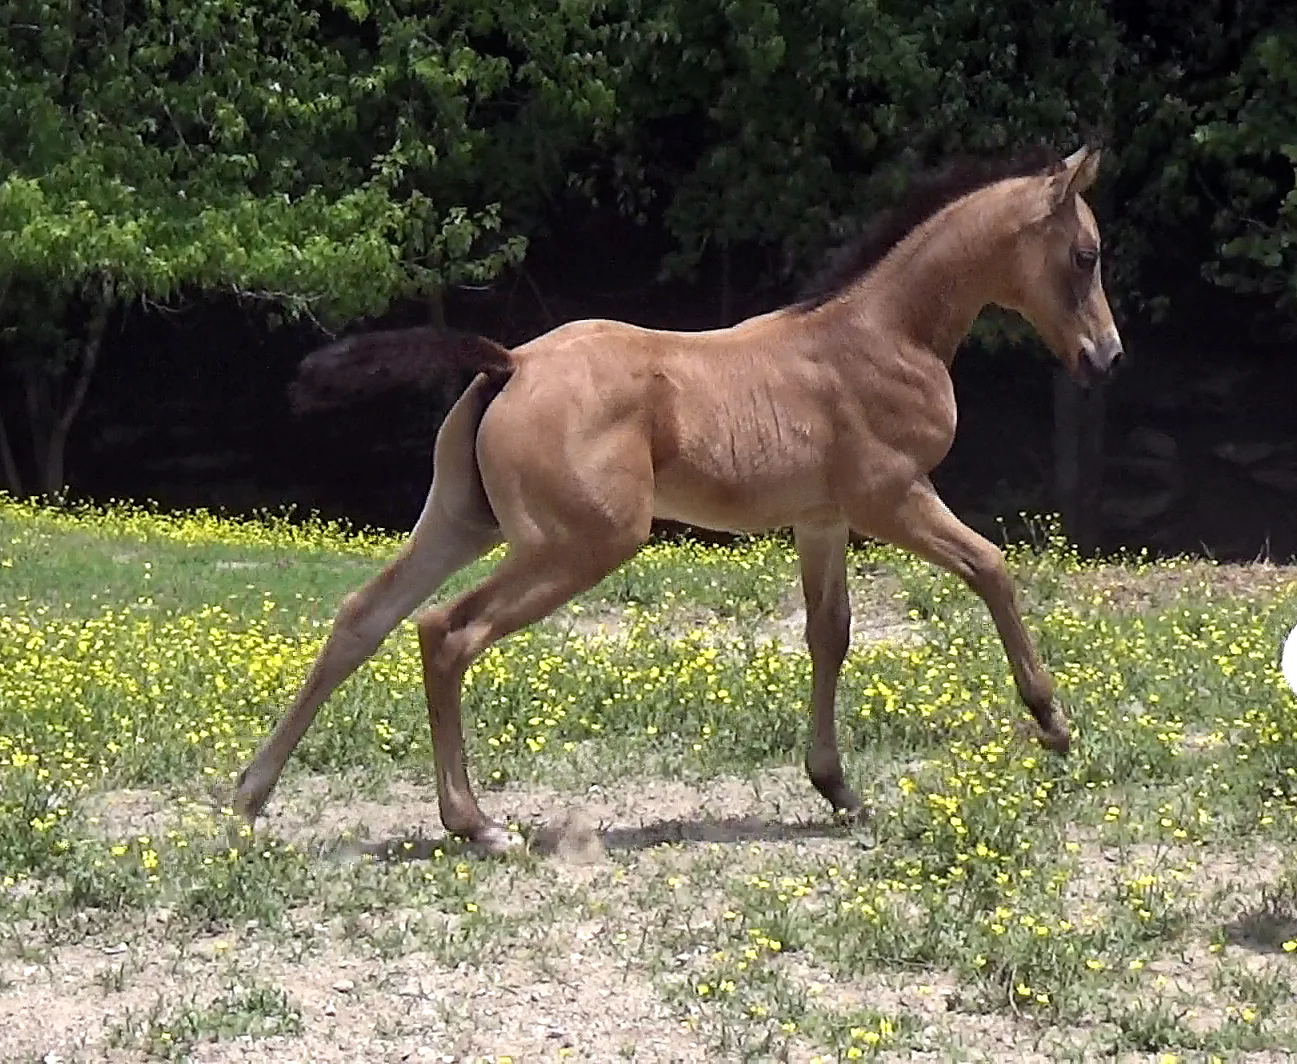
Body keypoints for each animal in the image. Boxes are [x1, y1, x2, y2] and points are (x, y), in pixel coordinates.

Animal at [232, 142, 1123, 854]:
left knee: (363, 617)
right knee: (446, 631)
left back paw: (251, 793)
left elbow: (829, 635)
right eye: (1085, 254)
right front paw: (1051, 721)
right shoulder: (891, 498)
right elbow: (991, 567)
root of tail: (511, 361)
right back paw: (476, 824)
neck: (883, 335)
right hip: (580, 542)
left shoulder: (821, 519)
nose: (1107, 357)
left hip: (462, 522)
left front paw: (837, 788)